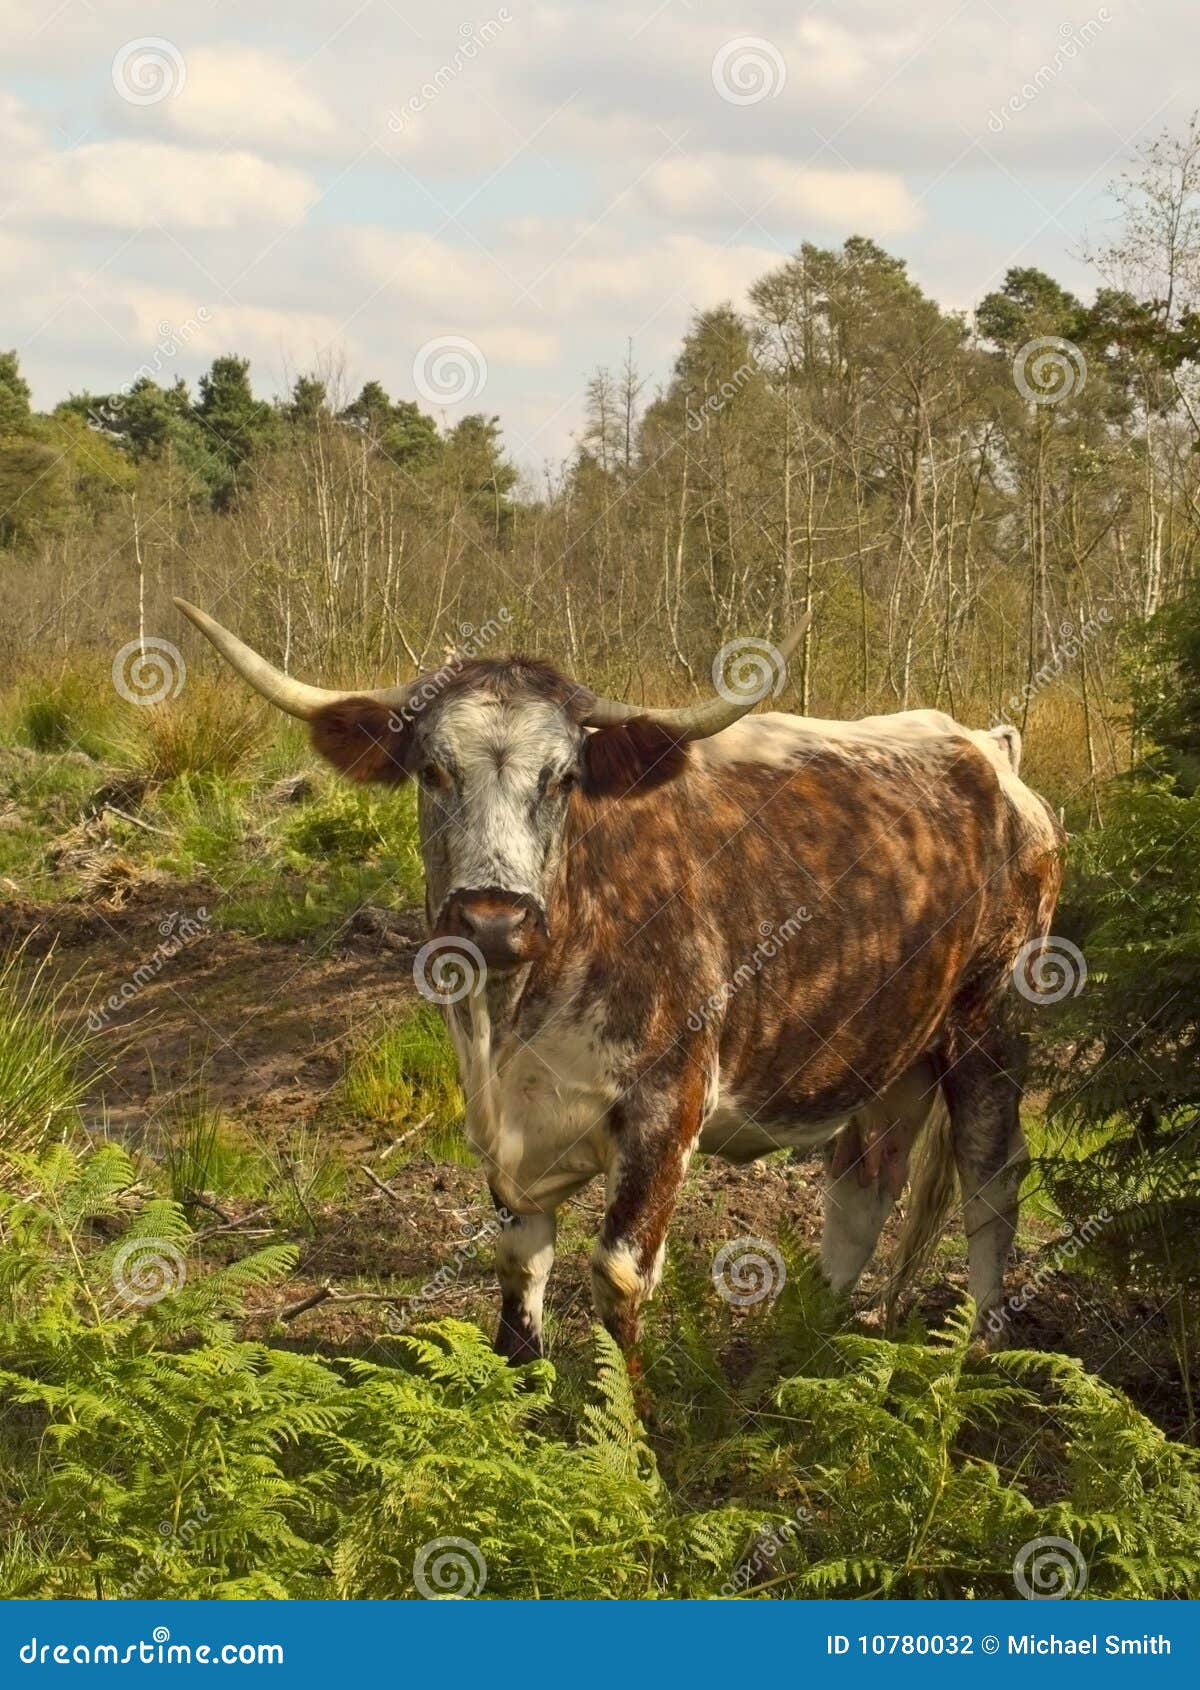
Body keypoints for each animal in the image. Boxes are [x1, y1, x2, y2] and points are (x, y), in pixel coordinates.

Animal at [175, 600, 1064, 1364]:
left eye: (565, 777)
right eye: (431, 771)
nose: (493, 921)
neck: (511, 1016)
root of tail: (987, 748)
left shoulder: (666, 1108)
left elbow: (618, 1275)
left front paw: (625, 1427)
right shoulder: (505, 1129)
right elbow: (519, 1262)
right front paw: (519, 1383)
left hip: (990, 1024)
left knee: (991, 1174)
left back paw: (978, 1343)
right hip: (884, 1044)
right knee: (863, 1185)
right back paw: (801, 1337)